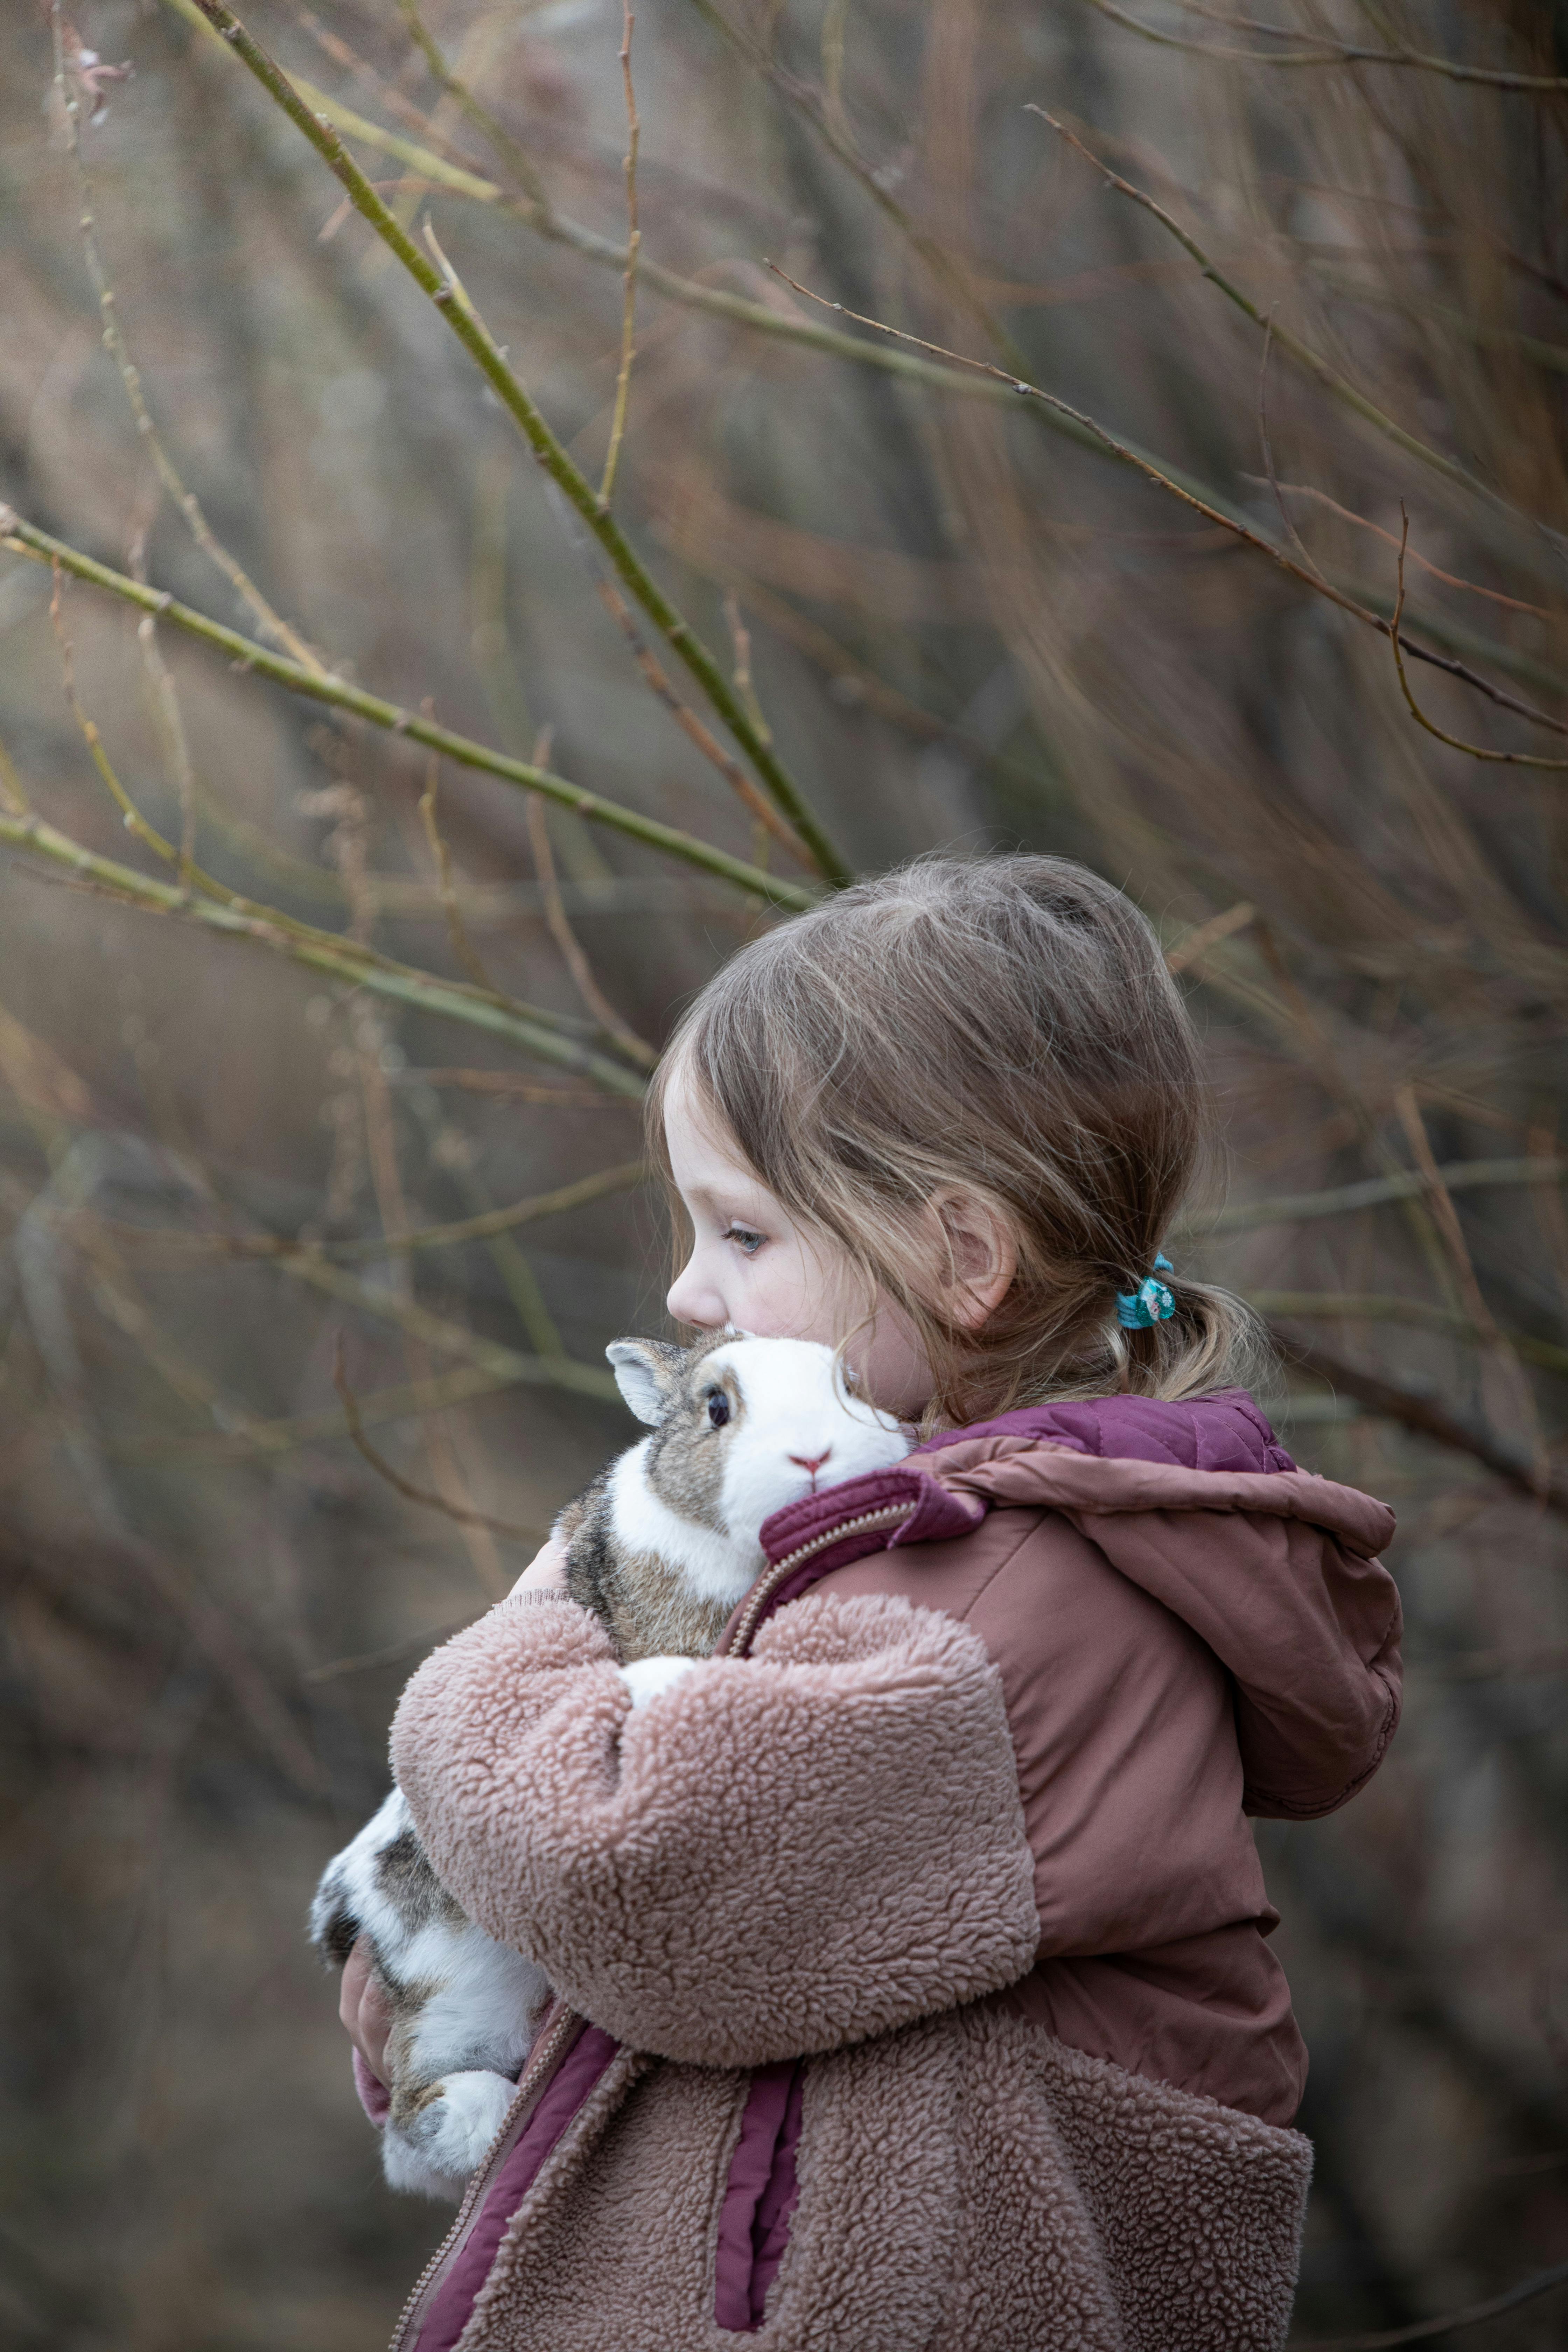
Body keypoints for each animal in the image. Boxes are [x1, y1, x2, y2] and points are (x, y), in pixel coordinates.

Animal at [311, 1333, 911, 2200]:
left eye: (852, 1385)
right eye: (715, 1407)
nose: (812, 1454)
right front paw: (670, 1685)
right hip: (453, 1984)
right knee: (415, 2113)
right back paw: (483, 2114)